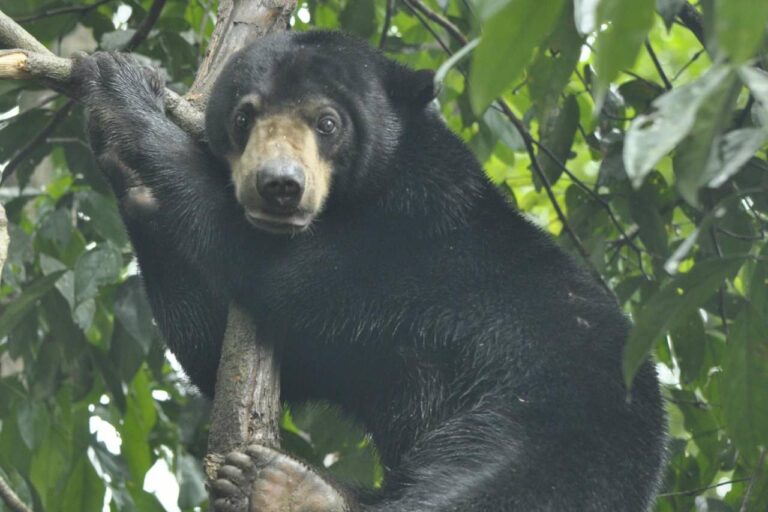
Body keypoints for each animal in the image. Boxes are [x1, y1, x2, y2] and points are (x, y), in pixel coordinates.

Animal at [71, 31, 667, 511]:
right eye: (244, 117)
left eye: (327, 123)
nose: (279, 186)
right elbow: (217, 353)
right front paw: (123, 159)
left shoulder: (407, 233)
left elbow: (273, 267)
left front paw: (121, 90)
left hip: (555, 430)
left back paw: (283, 487)